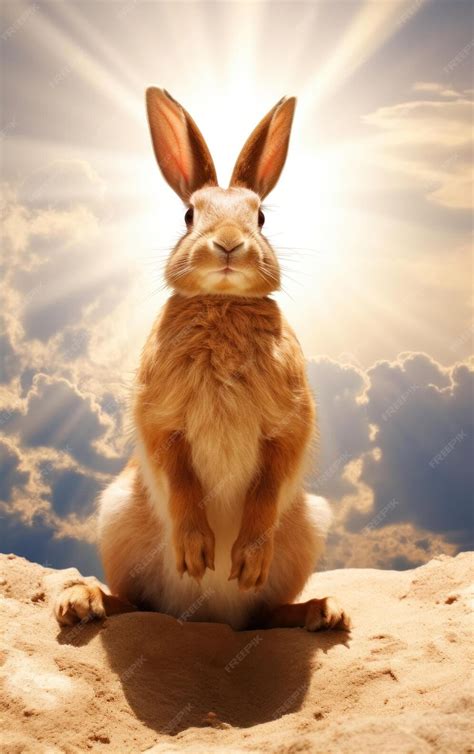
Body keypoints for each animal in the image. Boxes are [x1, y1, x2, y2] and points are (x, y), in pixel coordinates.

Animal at [55, 88, 350, 633]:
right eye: (190, 216)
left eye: (261, 217)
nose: (229, 244)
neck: (223, 303)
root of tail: (213, 618)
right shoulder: (163, 418)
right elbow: (178, 474)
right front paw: (197, 551)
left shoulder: (288, 424)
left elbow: (271, 477)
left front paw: (246, 557)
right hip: (118, 516)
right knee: (138, 604)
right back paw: (82, 602)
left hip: (307, 526)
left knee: (265, 614)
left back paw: (323, 611)